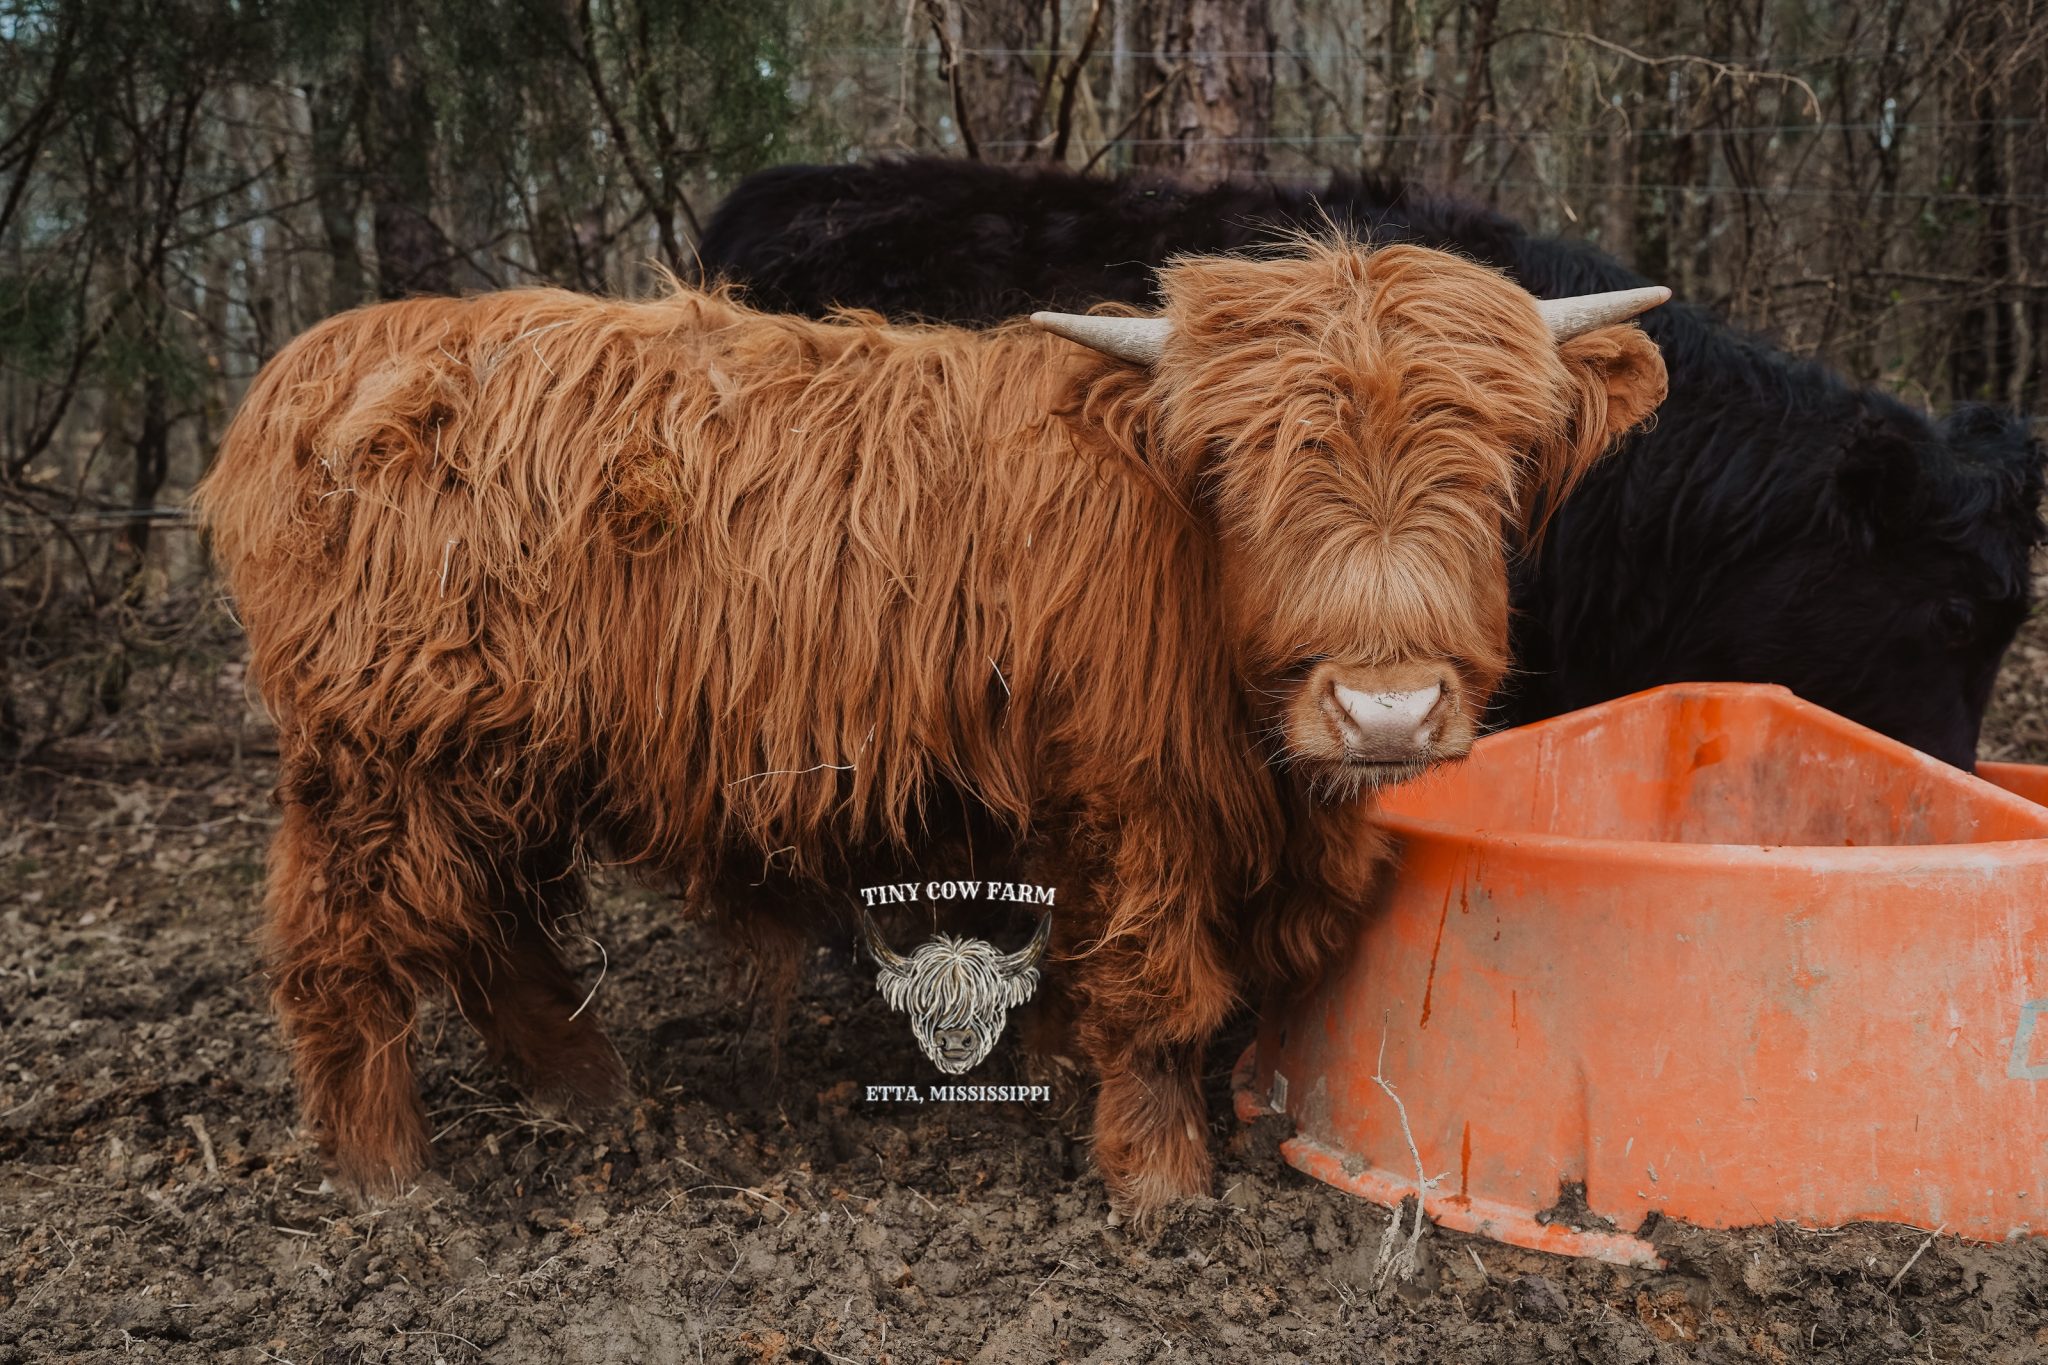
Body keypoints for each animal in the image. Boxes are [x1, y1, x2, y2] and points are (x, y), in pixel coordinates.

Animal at [195, 237, 1668, 1217]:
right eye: (1238, 469)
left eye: (1495, 469)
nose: (1385, 708)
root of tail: (323, 362)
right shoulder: (1139, 798)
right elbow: (1159, 987)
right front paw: (1158, 1177)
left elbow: (1075, 966)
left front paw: (1061, 1069)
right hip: (384, 758)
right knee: (345, 945)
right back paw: (387, 1171)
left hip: (491, 762)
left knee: (487, 923)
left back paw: (587, 1091)